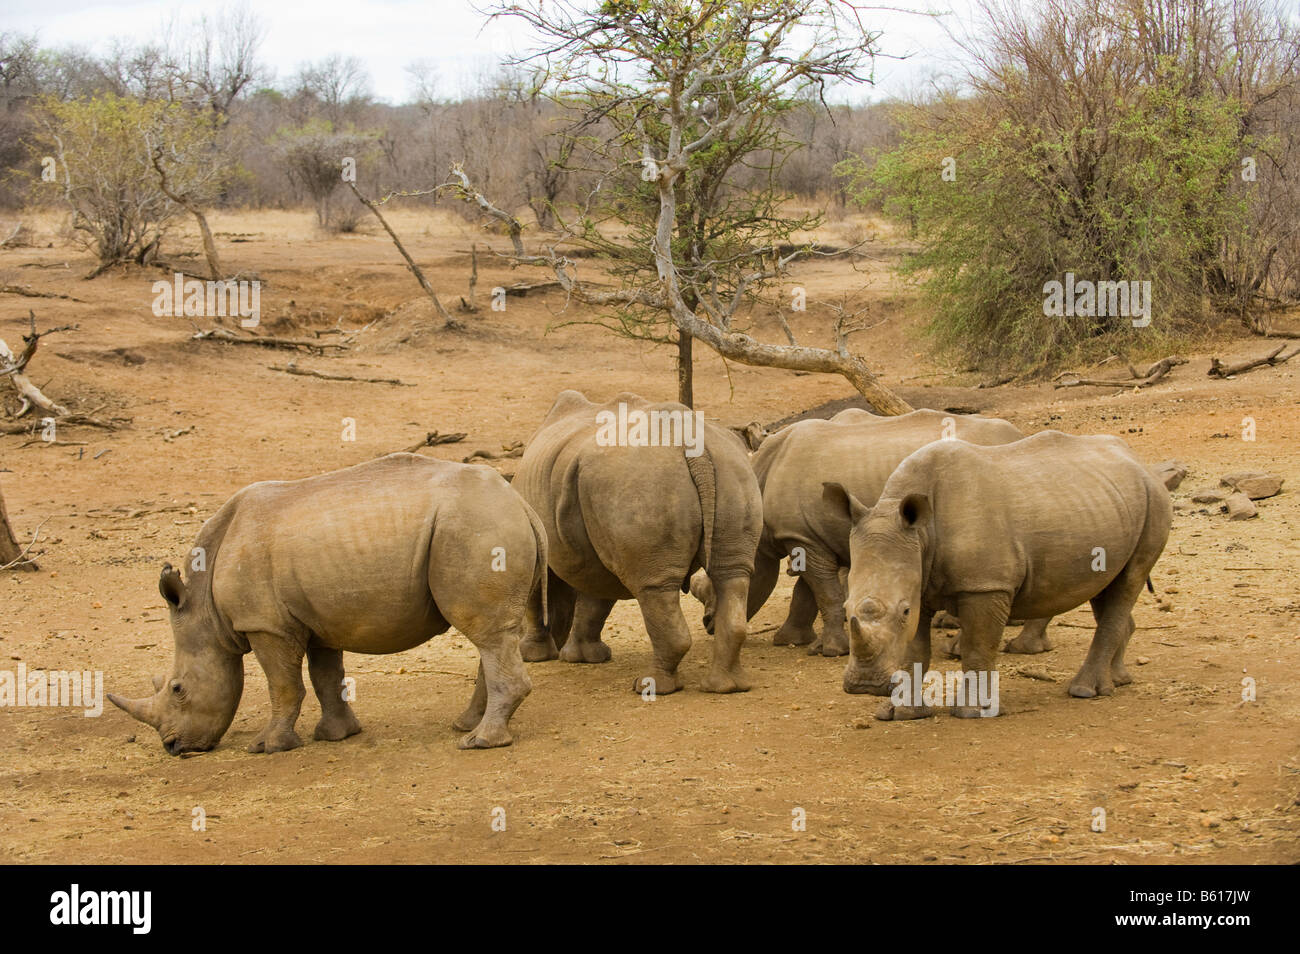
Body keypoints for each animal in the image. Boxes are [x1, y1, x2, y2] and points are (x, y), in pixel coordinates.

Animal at [108, 454, 547, 753]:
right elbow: (325, 677)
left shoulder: (266, 624)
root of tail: (521, 504)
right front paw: (336, 736)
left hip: (476, 528)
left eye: (178, 688)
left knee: (487, 635)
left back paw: (478, 742)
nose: (173, 747)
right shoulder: (318, 618)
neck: (204, 609)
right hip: (480, 526)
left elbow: (283, 685)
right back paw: (464, 726)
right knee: (491, 637)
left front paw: (268, 747)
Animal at [514, 390, 762, 695]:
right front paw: (584, 657)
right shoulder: (598, 546)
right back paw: (727, 687)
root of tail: (692, 445)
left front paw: (533, 655)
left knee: (653, 586)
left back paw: (648, 686)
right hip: (733, 472)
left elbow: (541, 596)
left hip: (641, 485)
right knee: (732, 575)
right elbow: (594, 601)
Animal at [693, 408, 1053, 658]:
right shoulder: (809, 536)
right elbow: (807, 592)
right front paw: (792, 641)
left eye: (711, 584)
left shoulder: (802, 537)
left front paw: (830, 651)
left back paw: (993, 649)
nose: (709, 624)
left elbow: (823, 592)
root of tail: (1017, 433)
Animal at [826, 431, 1171, 719]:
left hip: (1156, 502)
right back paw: (1119, 680)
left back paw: (1085, 691)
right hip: (1110, 506)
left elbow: (977, 647)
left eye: (904, 611)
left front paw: (971, 712)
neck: (920, 533)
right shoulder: (918, 577)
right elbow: (914, 651)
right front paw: (901, 713)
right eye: (845, 608)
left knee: (1128, 581)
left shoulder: (986, 585)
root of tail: (1142, 462)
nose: (865, 685)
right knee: (1107, 588)